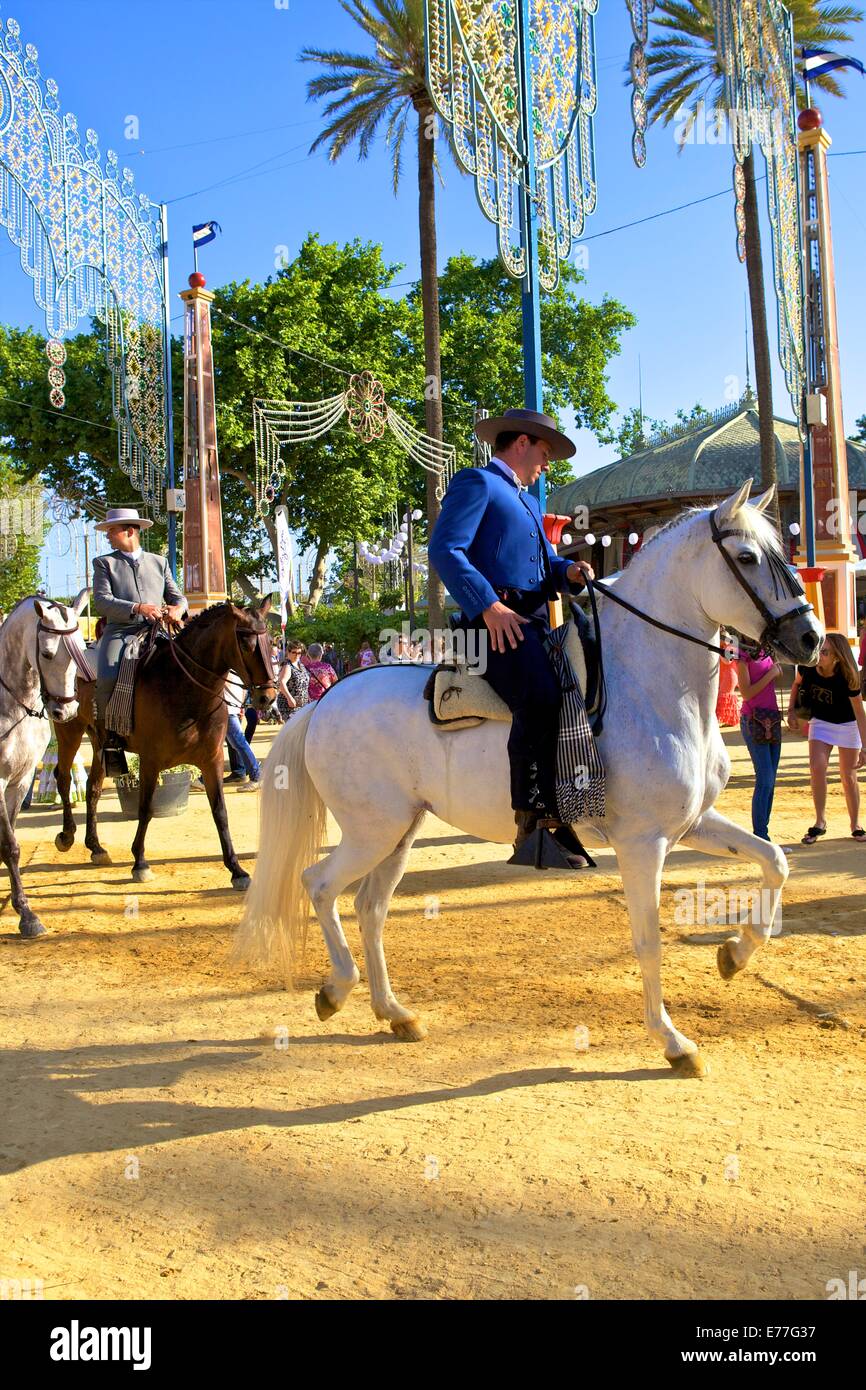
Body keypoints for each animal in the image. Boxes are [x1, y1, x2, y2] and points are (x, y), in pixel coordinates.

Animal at [0, 593, 93, 937]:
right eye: (47, 653)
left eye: (80, 651)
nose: (65, 712)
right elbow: (10, 845)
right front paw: (27, 916)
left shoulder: (21, 780)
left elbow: (10, 839)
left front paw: (23, 910)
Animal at [53, 602, 276, 889]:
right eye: (246, 643)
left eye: (270, 641)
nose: (267, 697)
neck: (185, 688)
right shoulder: (151, 761)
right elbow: (146, 809)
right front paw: (140, 862)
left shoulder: (212, 761)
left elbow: (220, 813)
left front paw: (236, 870)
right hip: (69, 730)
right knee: (63, 778)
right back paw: (66, 836)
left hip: (98, 743)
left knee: (93, 788)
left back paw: (96, 847)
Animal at [234, 482, 822, 1075]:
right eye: (746, 558)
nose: (811, 637)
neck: (644, 684)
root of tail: (324, 702)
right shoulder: (642, 843)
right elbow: (648, 940)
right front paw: (674, 1042)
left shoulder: (694, 823)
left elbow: (774, 860)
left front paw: (735, 954)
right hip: (371, 832)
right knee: (320, 885)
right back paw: (336, 990)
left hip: (399, 832)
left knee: (369, 909)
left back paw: (395, 1013)